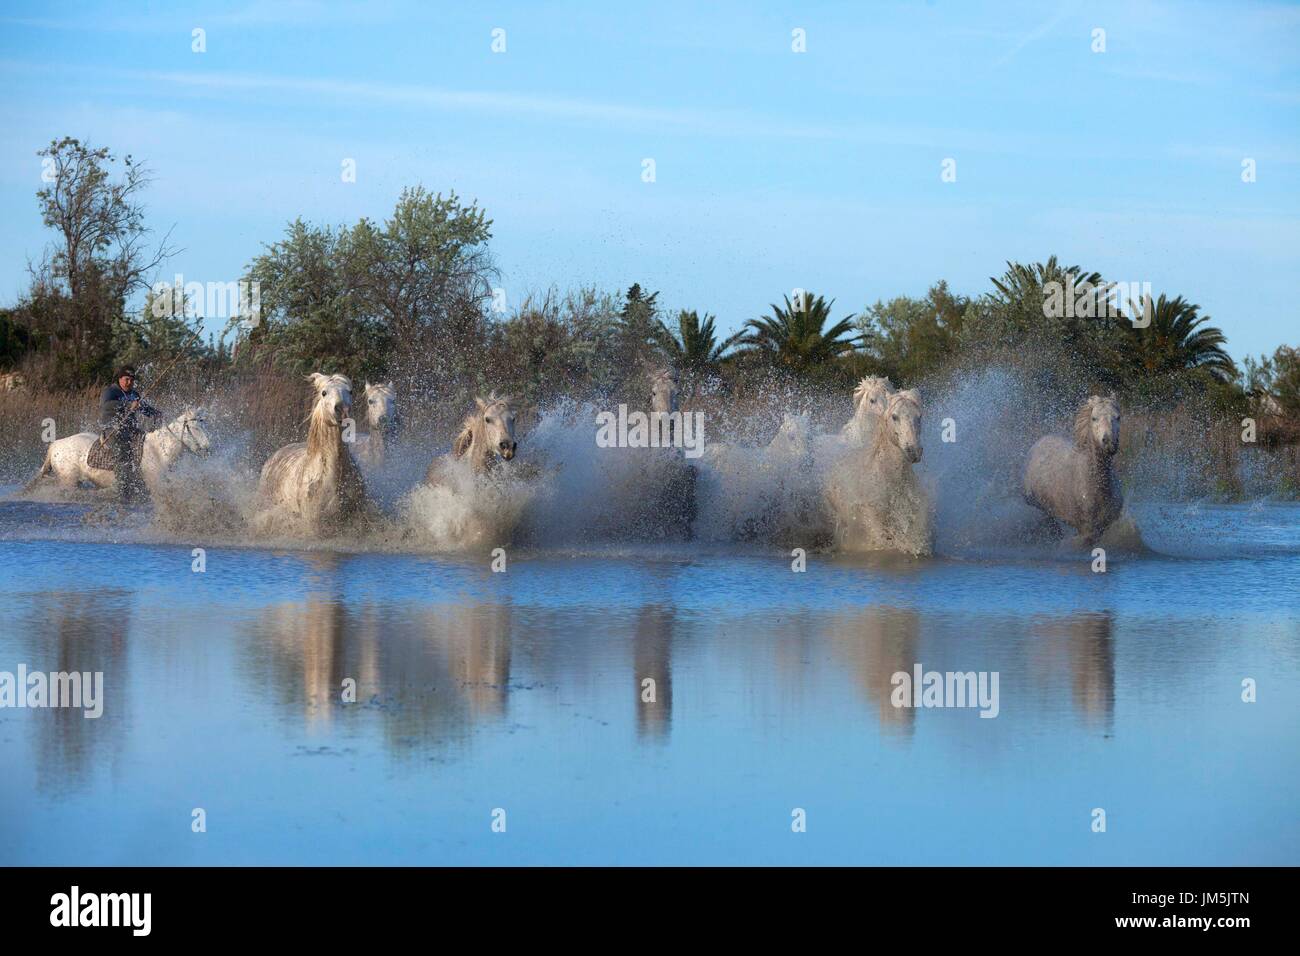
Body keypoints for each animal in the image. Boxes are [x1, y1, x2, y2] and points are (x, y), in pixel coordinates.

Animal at [24, 405, 213, 494]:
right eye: (195, 428)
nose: (207, 449)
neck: (158, 451)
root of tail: (55, 445)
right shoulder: (153, 485)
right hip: (68, 481)